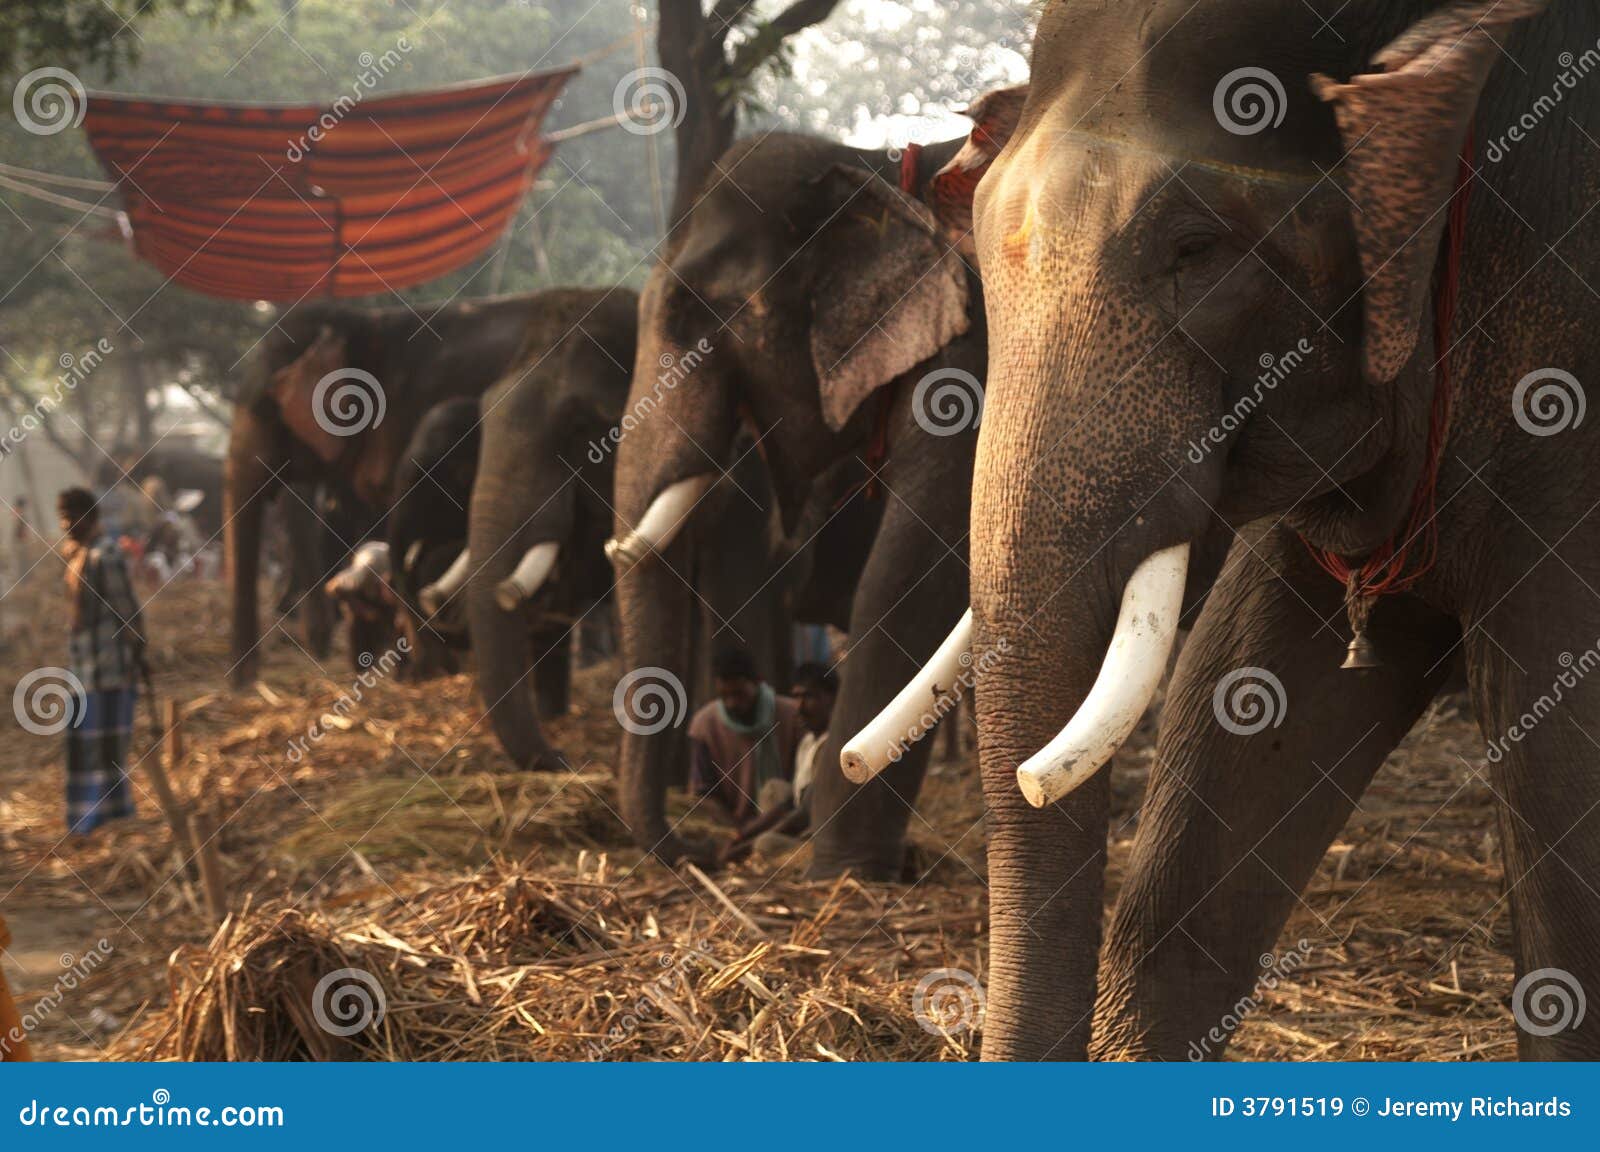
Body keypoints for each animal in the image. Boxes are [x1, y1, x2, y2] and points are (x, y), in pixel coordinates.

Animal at [608, 126, 985, 877]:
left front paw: (842, 870)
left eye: (689, 312)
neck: (876, 168)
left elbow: (911, 571)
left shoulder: (972, 359)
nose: (696, 852)